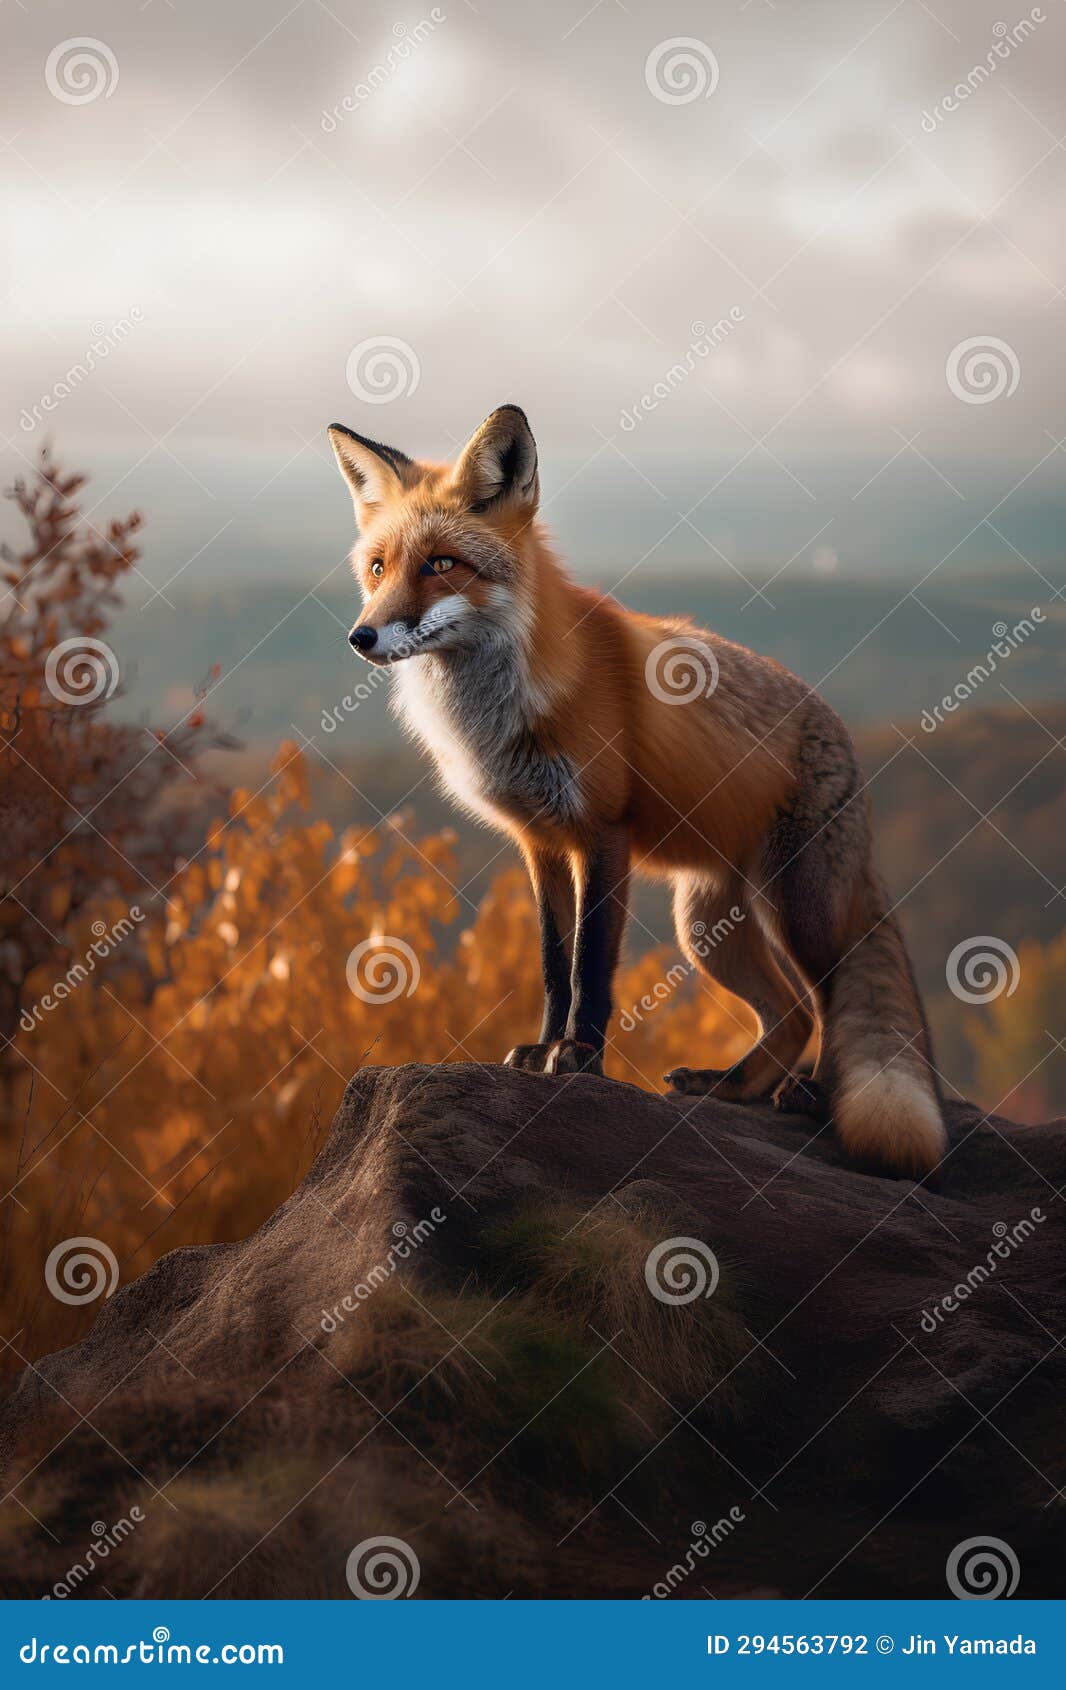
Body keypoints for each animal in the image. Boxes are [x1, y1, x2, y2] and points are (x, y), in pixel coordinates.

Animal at [328, 404, 947, 1178]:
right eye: (378, 568)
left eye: (441, 564)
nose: (361, 635)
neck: (505, 709)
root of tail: (844, 741)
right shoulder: (540, 842)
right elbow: (553, 963)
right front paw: (543, 1047)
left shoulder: (603, 831)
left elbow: (592, 965)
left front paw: (581, 1056)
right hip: (706, 924)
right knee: (791, 1014)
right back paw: (731, 1085)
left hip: (796, 911)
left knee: (828, 1005)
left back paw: (812, 1094)